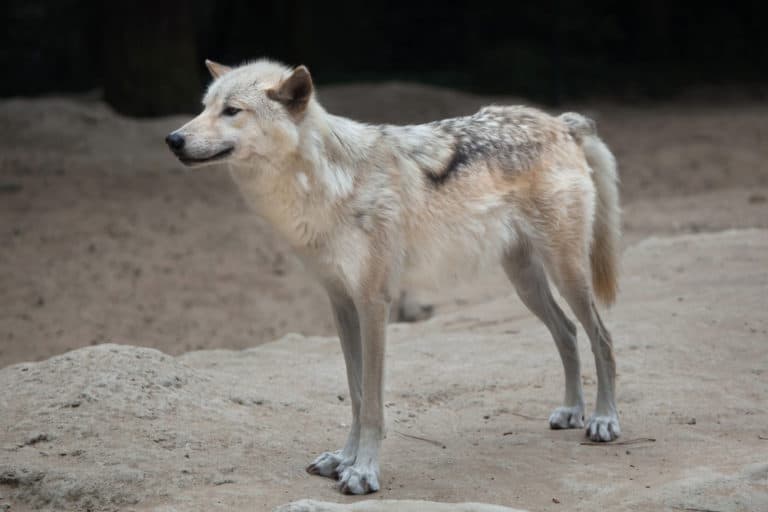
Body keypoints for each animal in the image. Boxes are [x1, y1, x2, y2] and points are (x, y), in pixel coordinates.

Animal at [167, 58, 622, 495]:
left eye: (231, 111)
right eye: (204, 107)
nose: (173, 139)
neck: (329, 186)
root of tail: (561, 122)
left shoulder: (374, 303)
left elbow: (372, 404)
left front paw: (363, 472)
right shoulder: (342, 303)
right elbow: (355, 394)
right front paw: (343, 459)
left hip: (566, 273)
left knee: (601, 336)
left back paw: (603, 419)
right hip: (525, 282)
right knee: (567, 332)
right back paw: (572, 411)